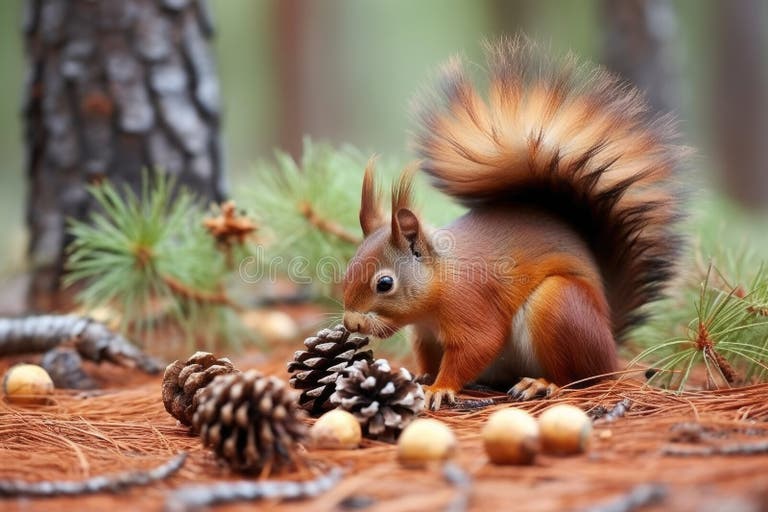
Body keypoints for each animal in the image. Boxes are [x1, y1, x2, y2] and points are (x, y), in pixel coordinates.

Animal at [342, 38, 685, 409]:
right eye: (347, 268)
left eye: (385, 283)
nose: (350, 322)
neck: (440, 283)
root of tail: (609, 339)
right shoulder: (424, 335)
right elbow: (430, 358)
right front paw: (421, 378)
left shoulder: (472, 306)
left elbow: (477, 346)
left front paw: (440, 388)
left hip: (560, 306)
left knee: (580, 378)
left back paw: (542, 384)